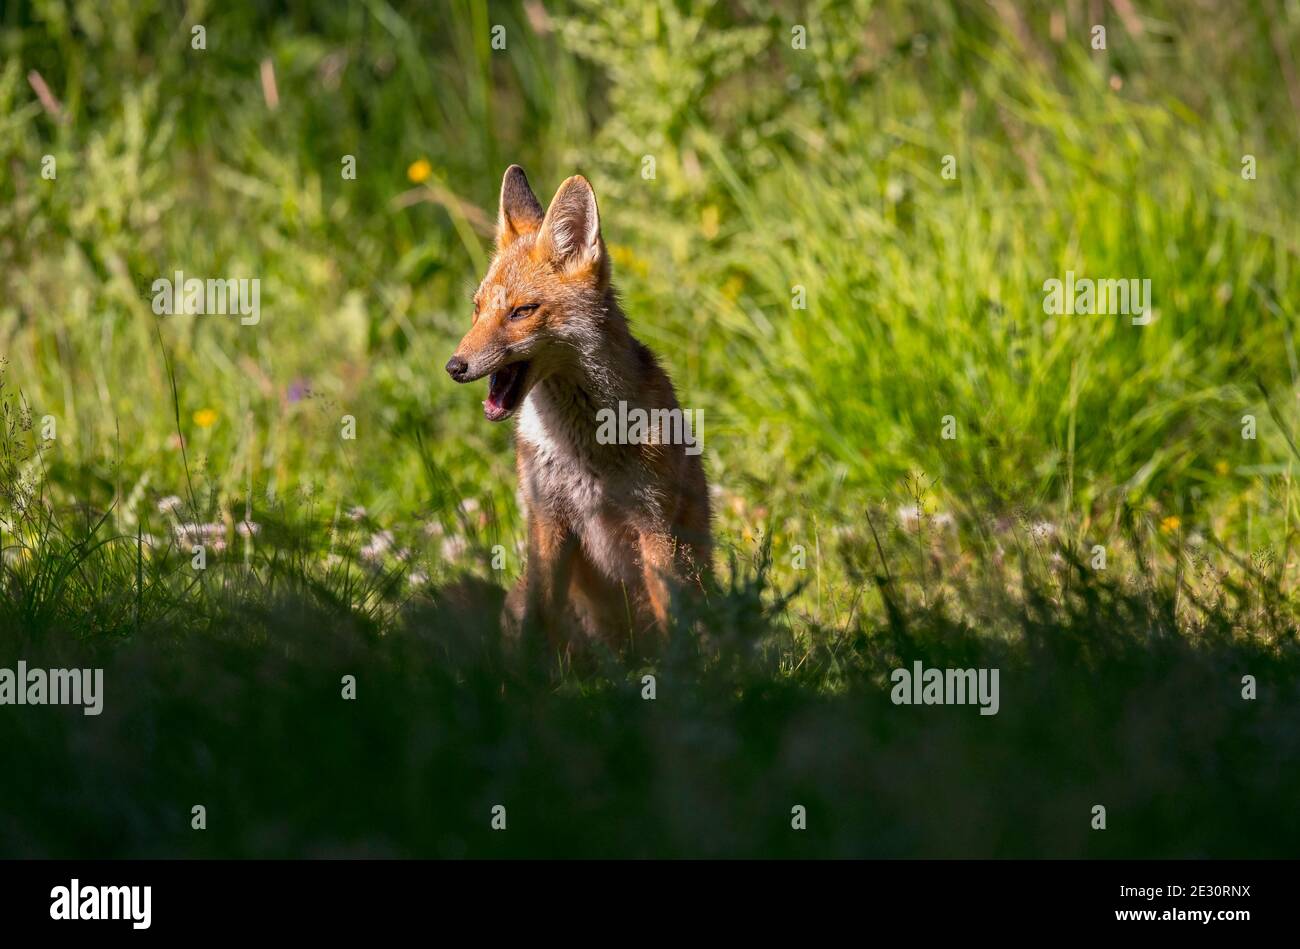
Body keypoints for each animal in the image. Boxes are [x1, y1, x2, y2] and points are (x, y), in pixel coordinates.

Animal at [445, 165, 712, 653]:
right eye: (476, 310)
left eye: (521, 312)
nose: (454, 367)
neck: (583, 449)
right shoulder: (548, 520)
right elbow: (539, 619)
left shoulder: (655, 525)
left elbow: (674, 620)